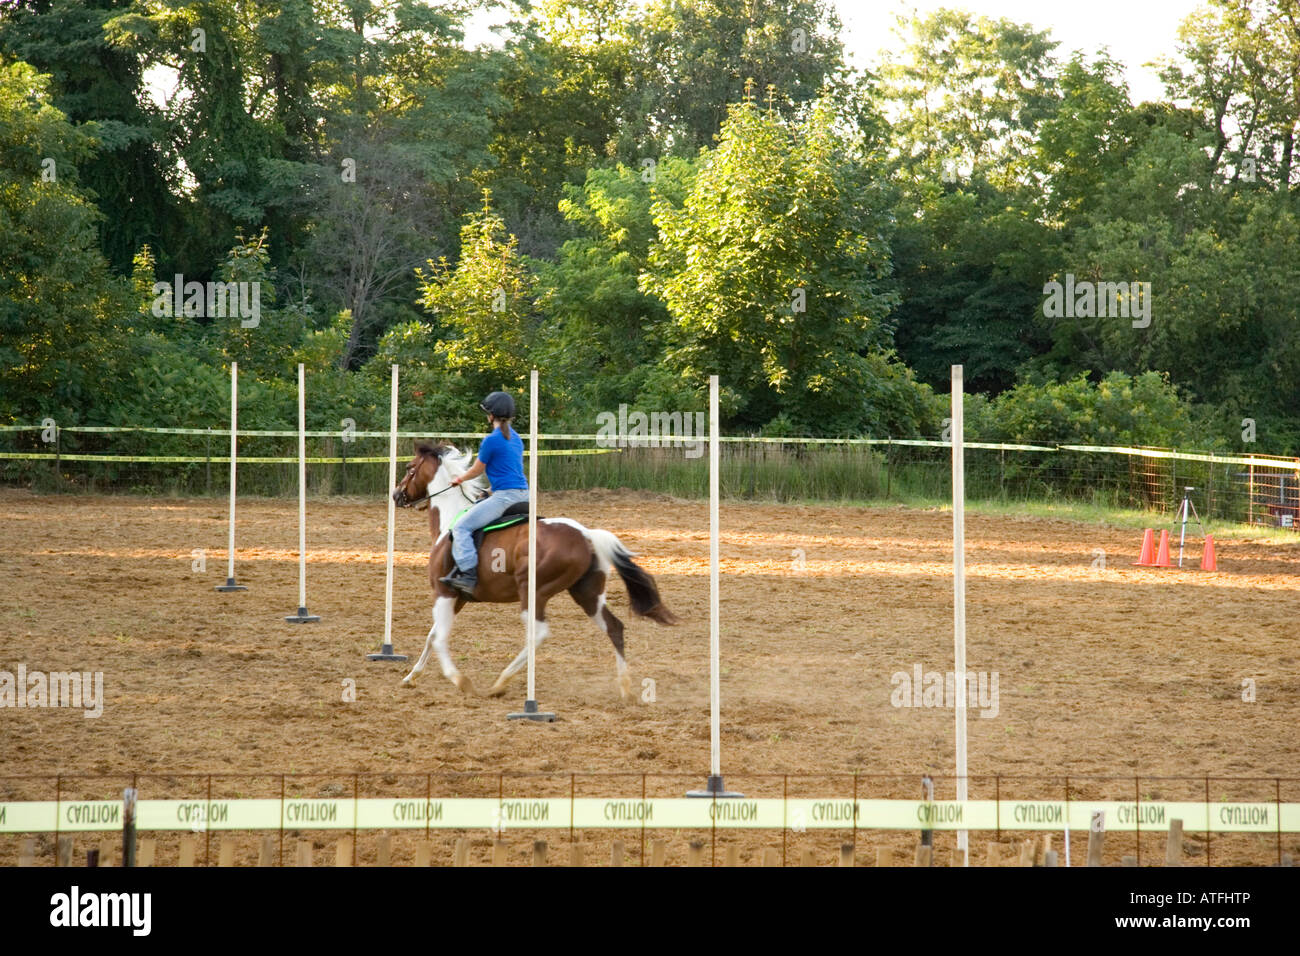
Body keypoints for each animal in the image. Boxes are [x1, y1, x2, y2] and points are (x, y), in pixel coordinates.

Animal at [391, 441, 678, 699]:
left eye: (409, 468)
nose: (396, 495)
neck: (452, 517)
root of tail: (586, 535)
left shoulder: (443, 591)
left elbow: (438, 638)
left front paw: (461, 681)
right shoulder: (457, 597)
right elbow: (433, 635)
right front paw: (411, 677)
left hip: (532, 591)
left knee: (537, 634)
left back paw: (501, 682)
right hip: (586, 594)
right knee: (614, 627)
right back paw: (626, 688)